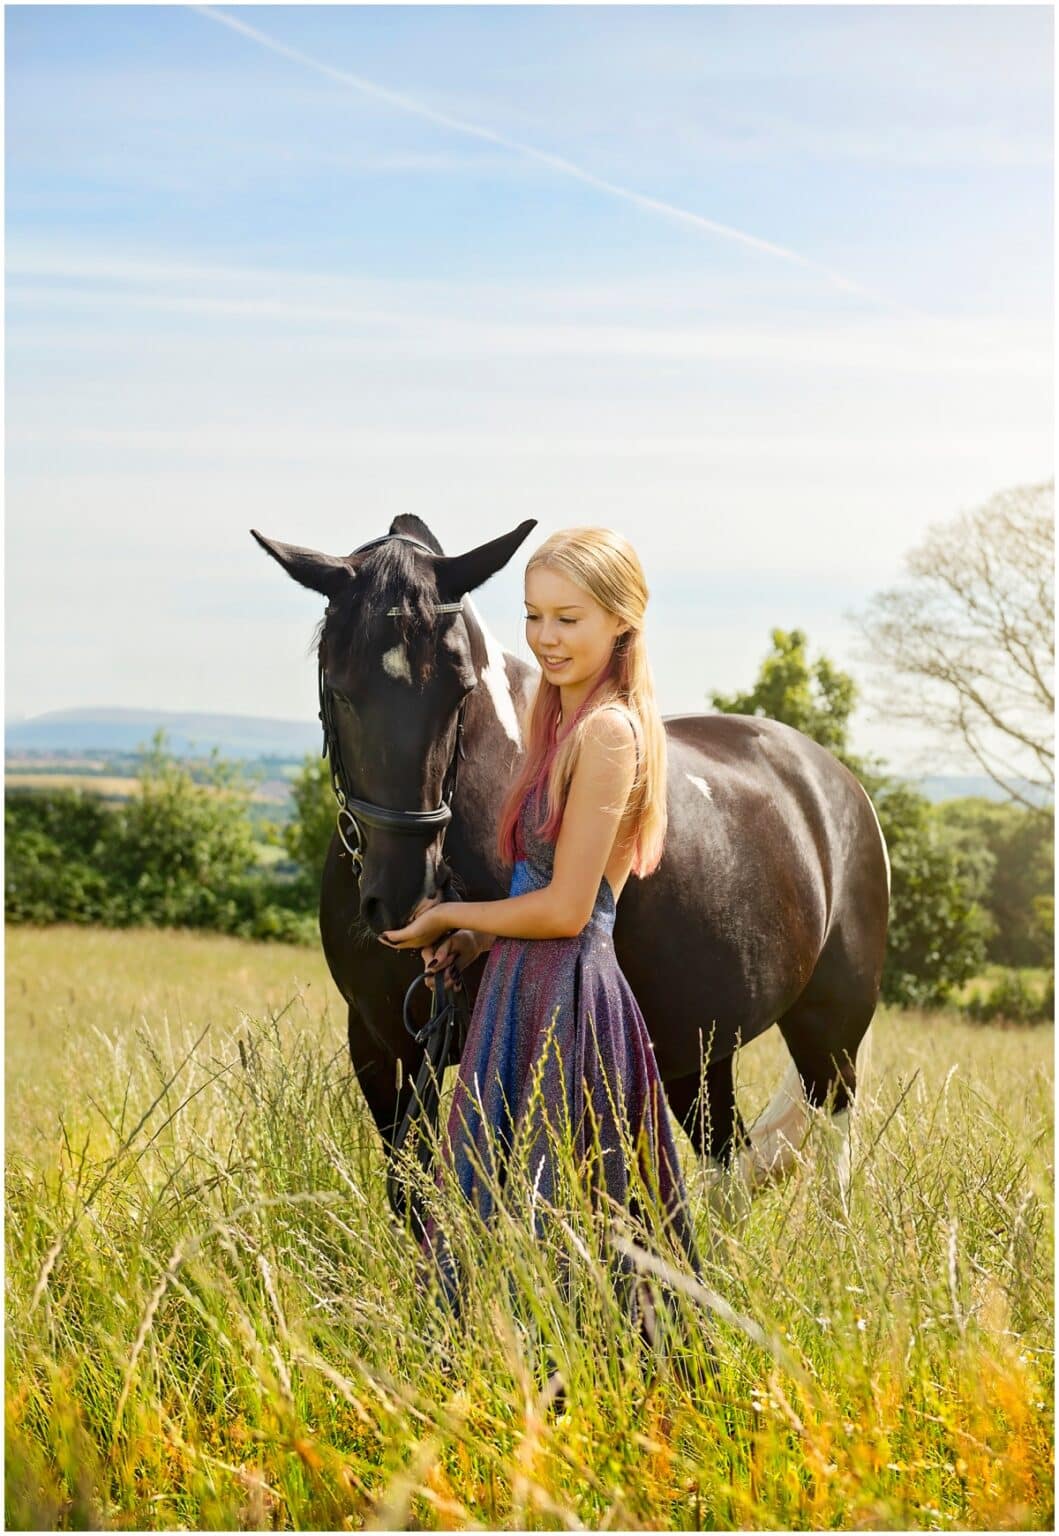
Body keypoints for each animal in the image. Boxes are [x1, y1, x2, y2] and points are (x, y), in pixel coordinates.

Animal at [252, 515, 889, 1224]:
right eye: (337, 685)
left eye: (459, 689)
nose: (402, 897)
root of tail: (833, 782)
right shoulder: (381, 1042)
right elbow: (410, 1195)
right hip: (700, 1049)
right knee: (725, 1158)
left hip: (831, 1034)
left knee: (833, 1143)